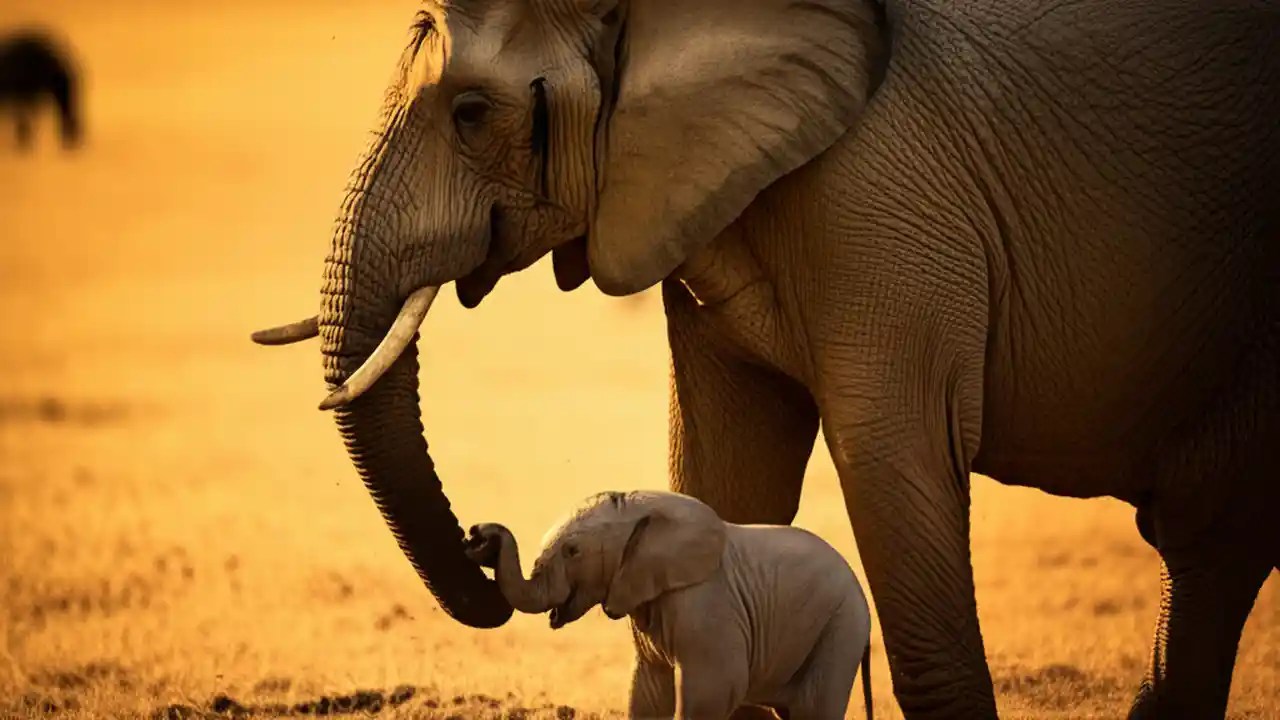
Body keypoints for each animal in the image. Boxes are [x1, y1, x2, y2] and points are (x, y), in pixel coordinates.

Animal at [461, 490, 875, 720]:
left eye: (573, 551)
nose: (477, 533)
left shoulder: (707, 608)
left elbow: (713, 692)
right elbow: (648, 692)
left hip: (841, 624)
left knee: (812, 709)